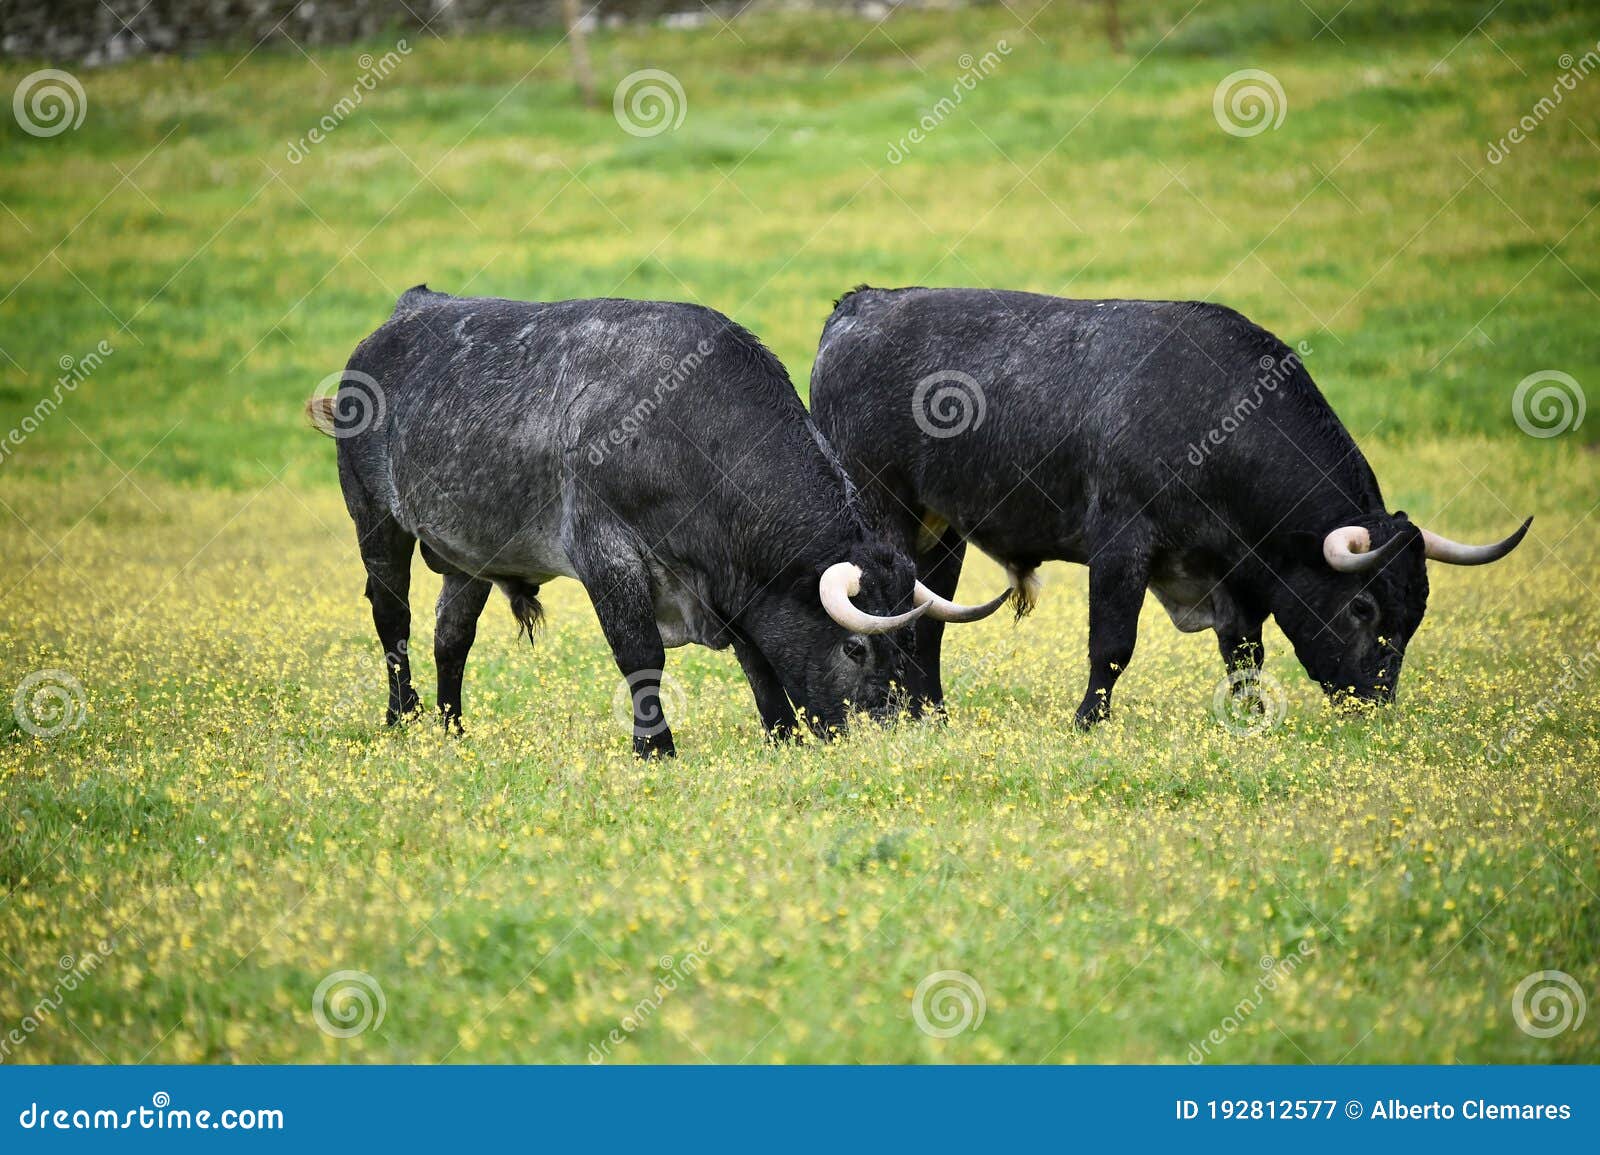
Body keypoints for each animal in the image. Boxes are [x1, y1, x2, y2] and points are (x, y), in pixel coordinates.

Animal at [307, 286, 1008, 756]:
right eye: (856, 647)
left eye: (908, 643)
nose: (886, 730)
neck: (682, 425)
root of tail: (408, 312)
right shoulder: (607, 557)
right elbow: (639, 655)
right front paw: (657, 747)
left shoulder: (728, 583)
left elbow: (758, 657)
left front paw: (781, 735)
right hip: (376, 524)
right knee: (392, 622)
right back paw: (402, 719)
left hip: (468, 558)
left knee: (450, 638)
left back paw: (453, 729)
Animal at [809, 286, 1531, 729]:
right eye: (1362, 607)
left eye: (1416, 613)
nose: (1375, 704)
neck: (1216, 412)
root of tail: (861, 305)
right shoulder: (1121, 545)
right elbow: (1112, 644)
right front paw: (1089, 721)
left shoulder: (1233, 571)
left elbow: (1245, 653)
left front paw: (1249, 719)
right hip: (886, 512)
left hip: (943, 531)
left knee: (929, 620)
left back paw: (932, 715)